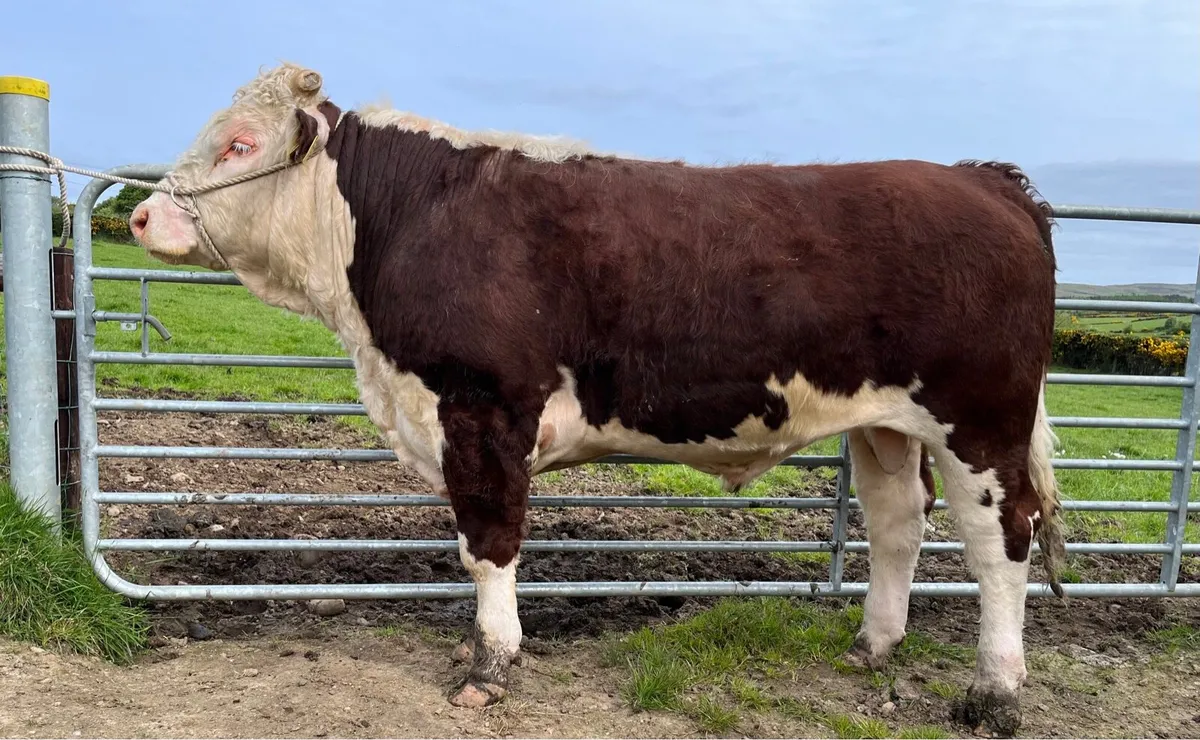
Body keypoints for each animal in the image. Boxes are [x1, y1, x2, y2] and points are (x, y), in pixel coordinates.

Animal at [130, 62, 1066, 736]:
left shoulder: (481, 407)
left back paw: (995, 693)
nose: (140, 218)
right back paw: (871, 647)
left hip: (981, 419)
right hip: (886, 425)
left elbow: (489, 542)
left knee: (1001, 543)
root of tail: (983, 180)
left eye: (240, 144)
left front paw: (490, 666)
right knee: (898, 524)